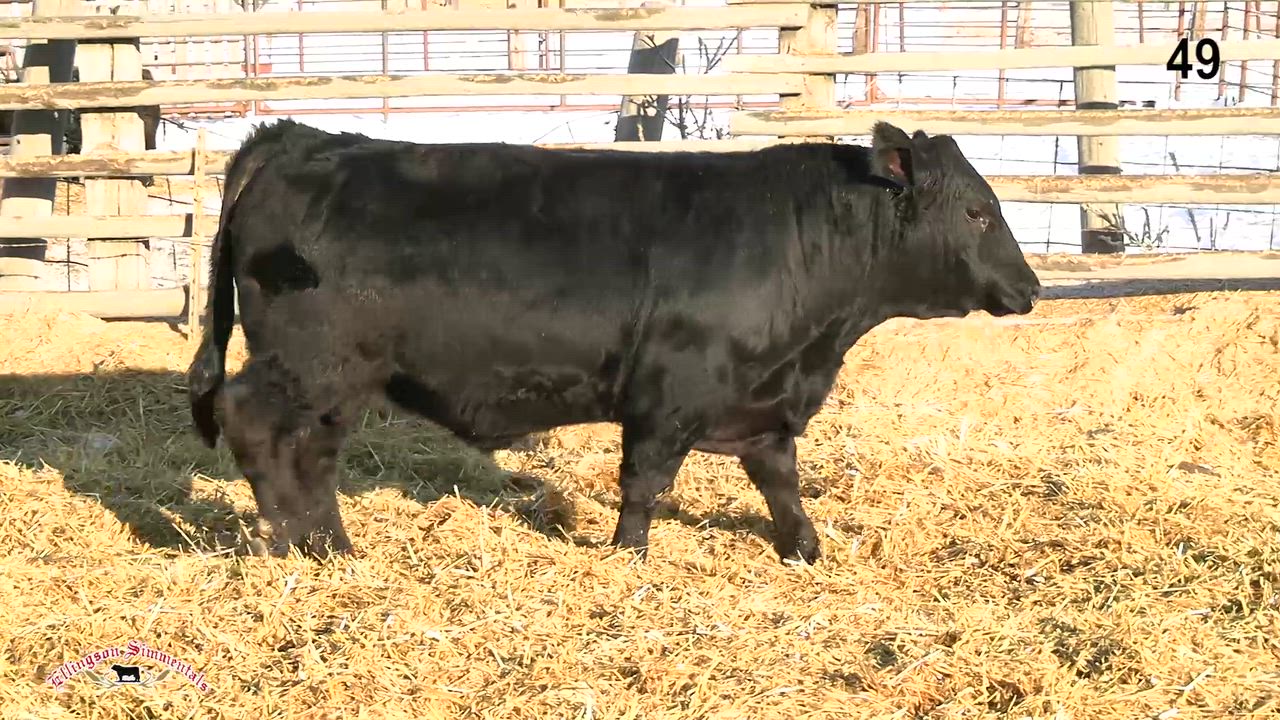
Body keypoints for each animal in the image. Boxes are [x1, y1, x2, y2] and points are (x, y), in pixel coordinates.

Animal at [186, 118, 1042, 564]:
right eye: (977, 212)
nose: (1029, 287)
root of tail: (306, 137)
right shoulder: (669, 395)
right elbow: (644, 485)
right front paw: (628, 555)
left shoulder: (763, 402)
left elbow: (781, 481)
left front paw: (804, 548)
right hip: (307, 365)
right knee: (254, 423)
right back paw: (292, 540)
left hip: (339, 382)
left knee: (312, 453)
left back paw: (326, 543)